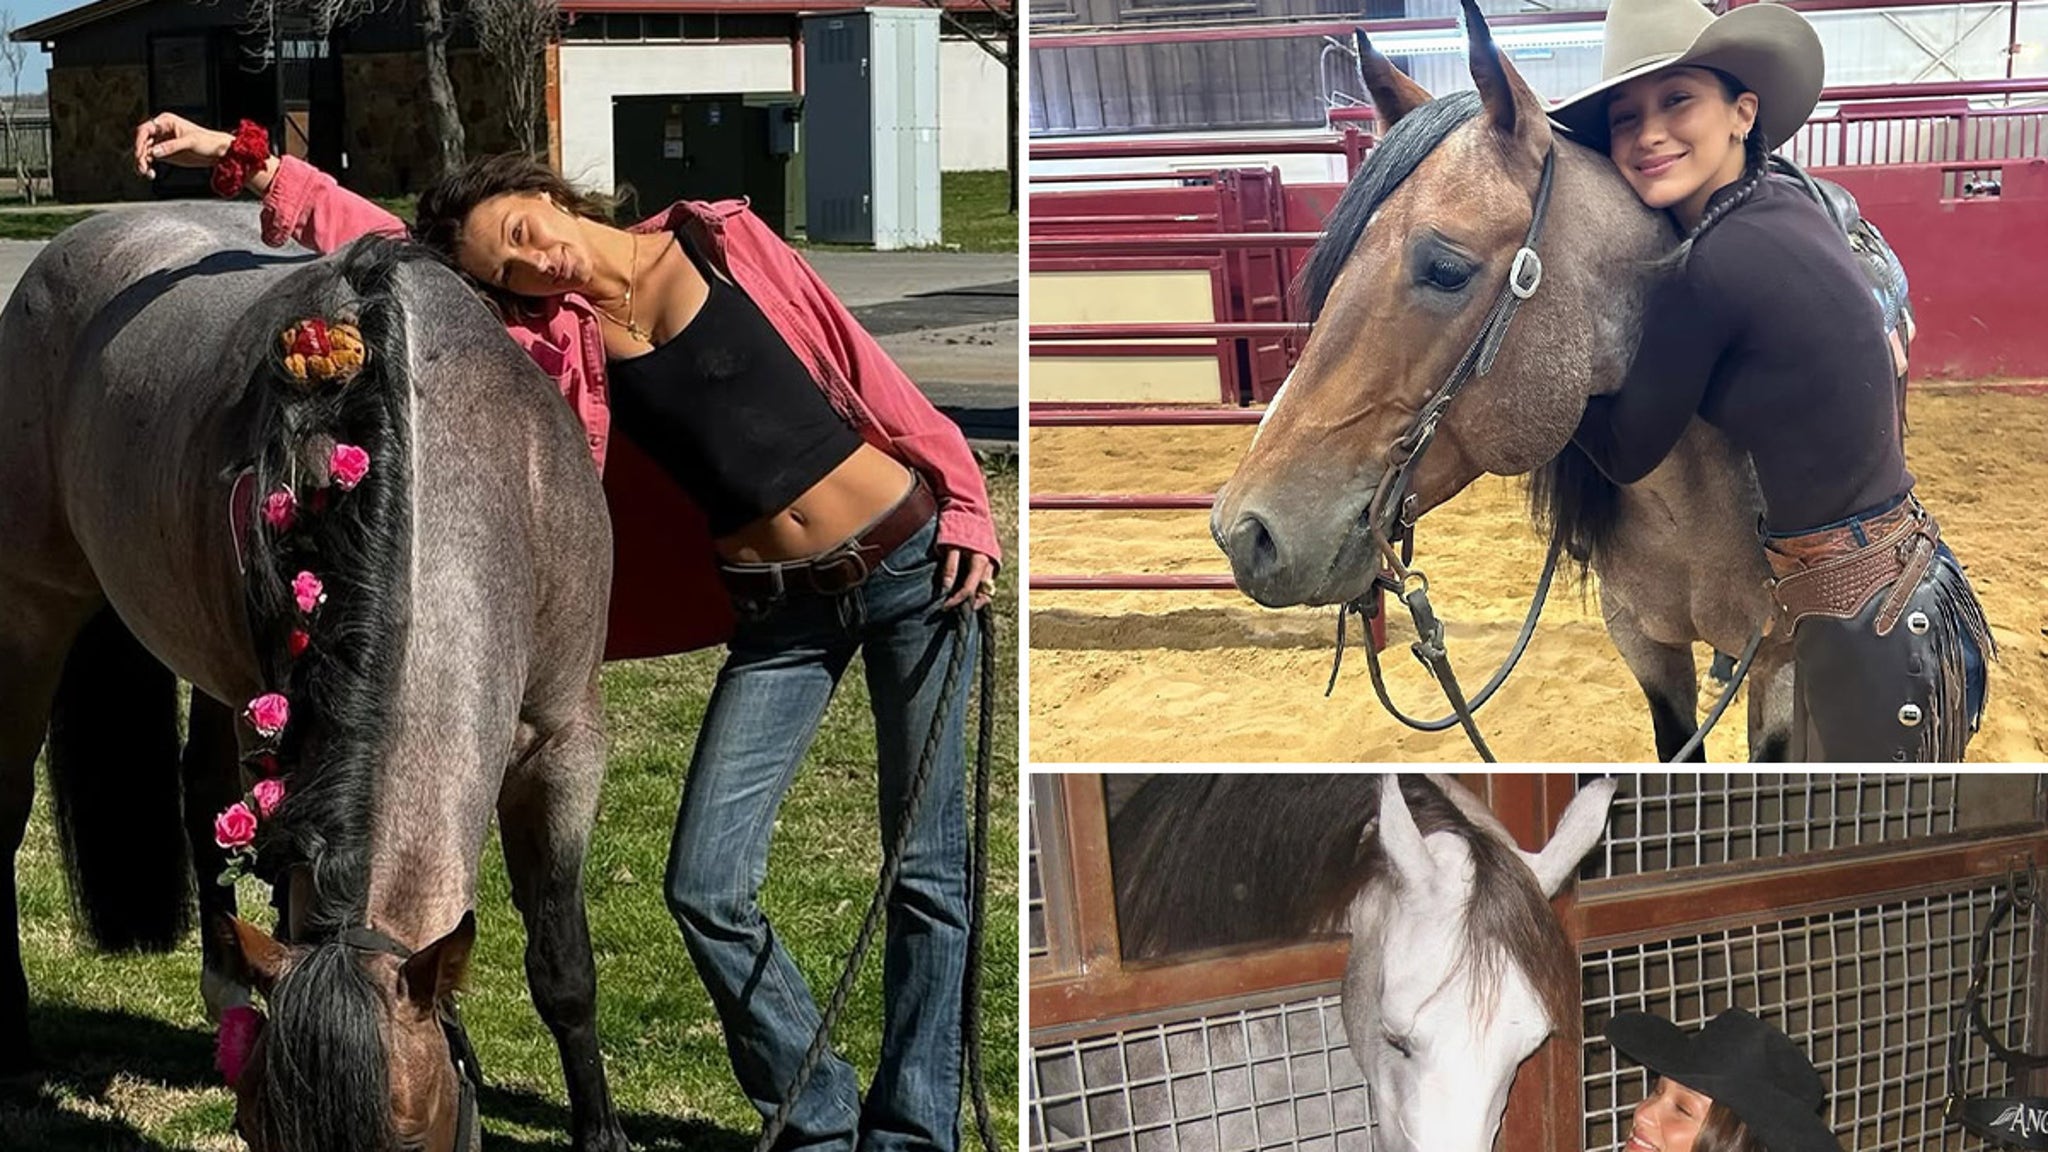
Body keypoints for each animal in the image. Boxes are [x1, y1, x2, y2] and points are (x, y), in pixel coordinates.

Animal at [0, 202, 628, 1151]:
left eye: (408, 1139)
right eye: (259, 1135)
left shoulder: (564, 745)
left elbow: (563, 967)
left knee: (199, 789)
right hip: (34, 616)